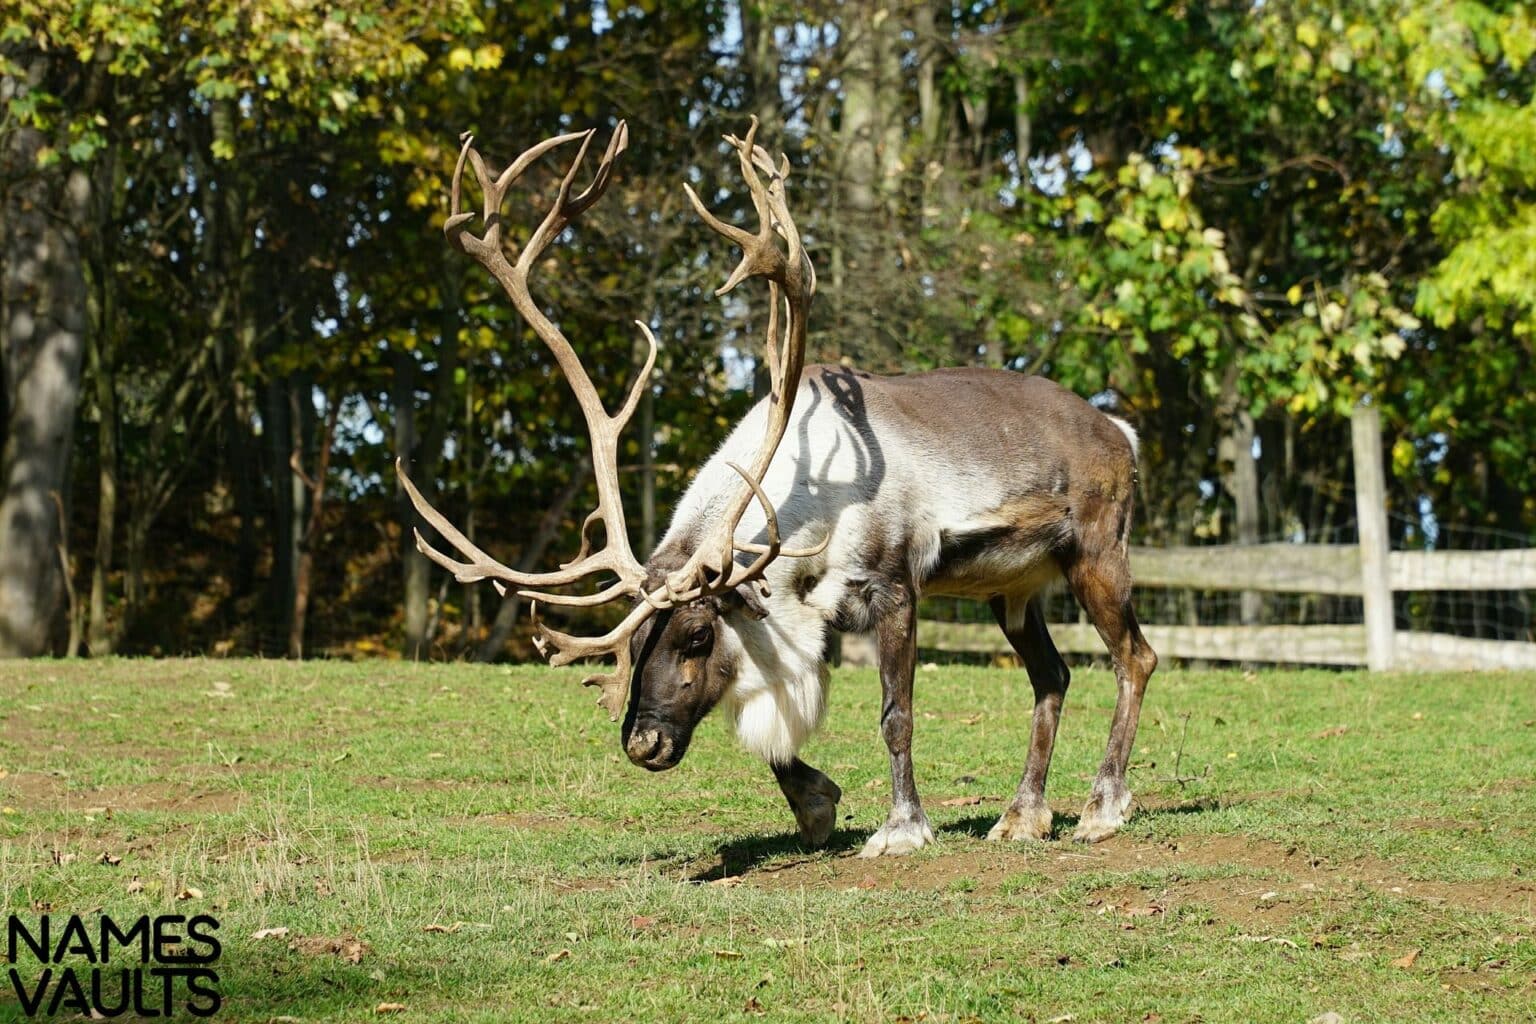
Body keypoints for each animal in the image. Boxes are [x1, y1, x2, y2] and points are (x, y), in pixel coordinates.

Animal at [398, 119, 1158, 858]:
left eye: (697, 634)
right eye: (634, 641)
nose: (643, 743)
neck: (807, 502)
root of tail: (1121, 430)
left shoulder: (894, 589)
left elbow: (896, 715)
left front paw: (902, 827)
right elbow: (773, 729)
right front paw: (816, 804)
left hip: (1096, 553)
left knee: (1135, 658)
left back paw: (1102, 808)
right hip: (1013, 588)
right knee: (1052, 677)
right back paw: (1023, 816)